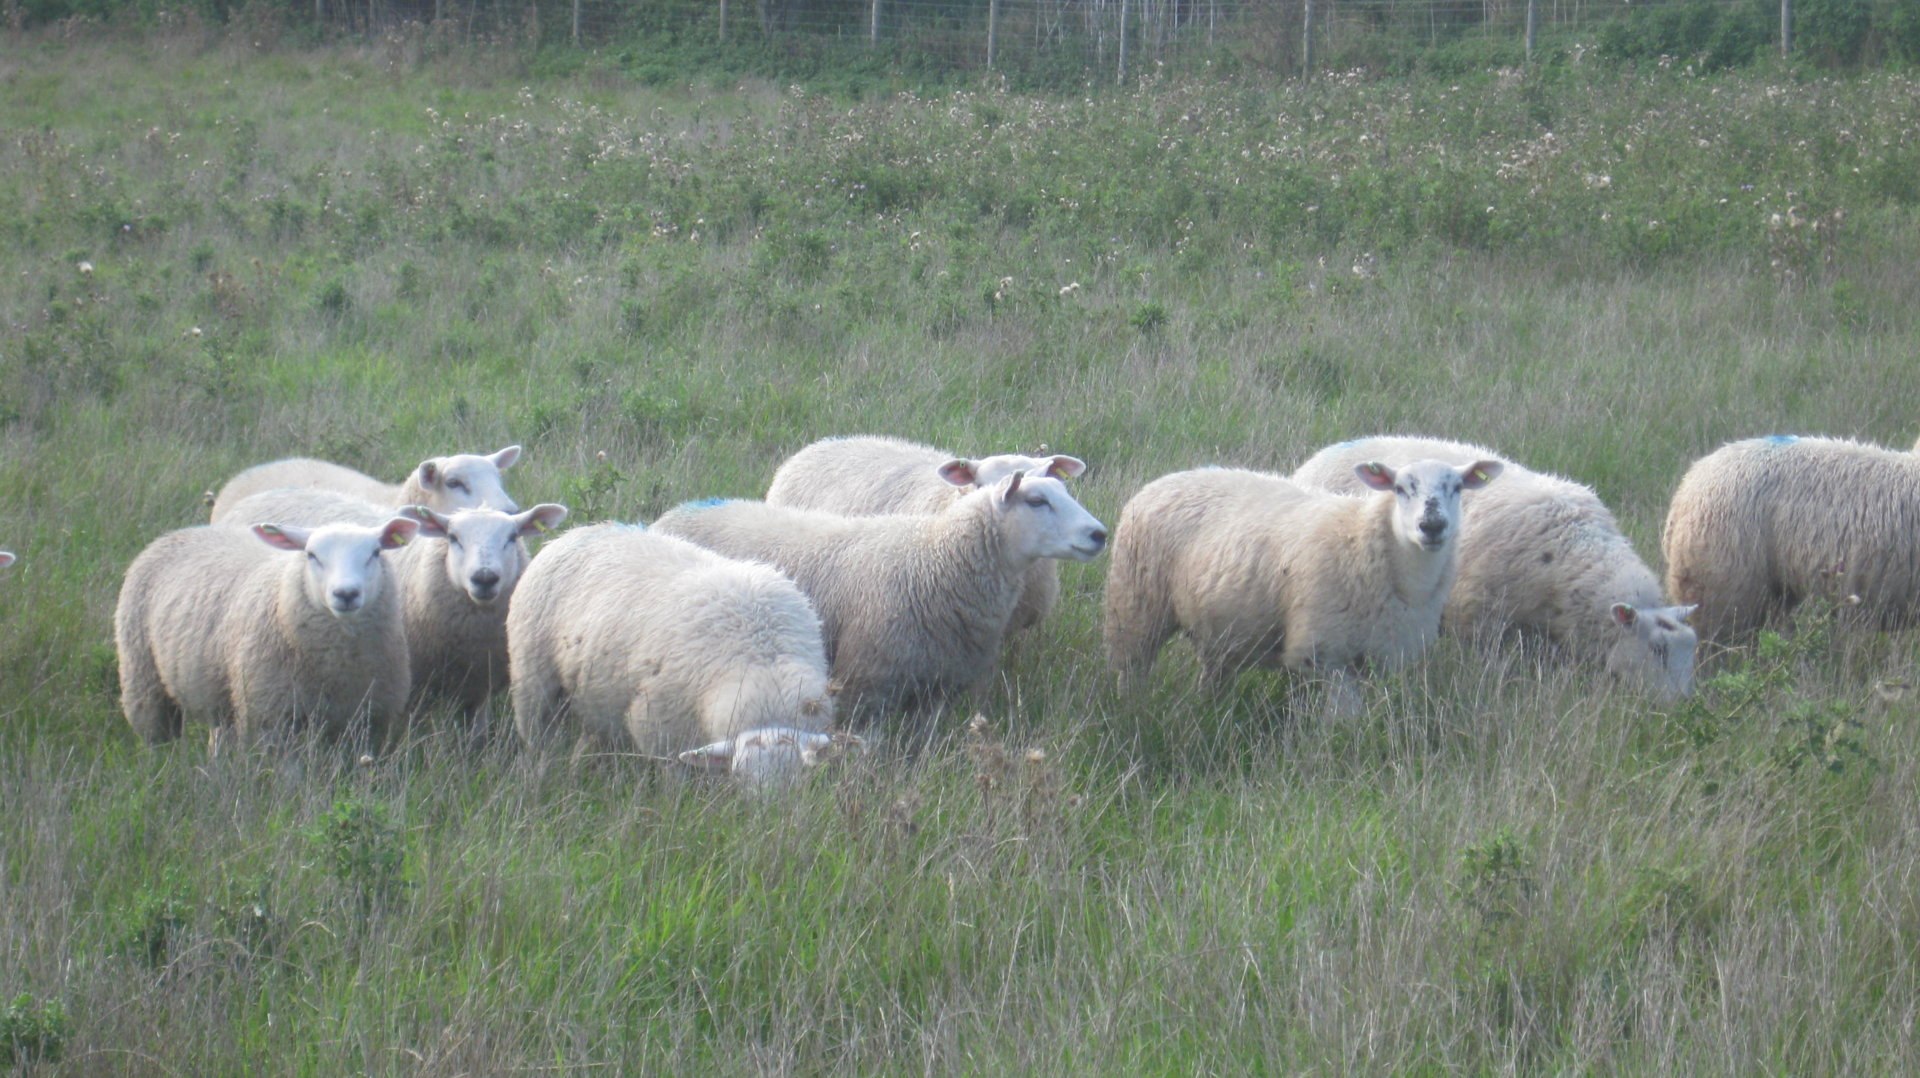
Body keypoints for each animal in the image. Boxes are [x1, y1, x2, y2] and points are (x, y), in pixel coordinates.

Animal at [114, 516, 419, 749]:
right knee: (156, 735)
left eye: (375, 553)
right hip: (143, 678)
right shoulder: (270, 718)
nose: (346, 594)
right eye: (312, 555)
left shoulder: (369, 721)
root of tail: (183, 531)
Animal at [507, 523, 851, 787]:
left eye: (799, 777)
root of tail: (574, 532)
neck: (763, 666)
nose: (768, 816)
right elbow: (677, 782)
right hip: (532, 677)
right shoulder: (658, 728)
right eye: (740, 776)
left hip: (594, 697)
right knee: (536, 732)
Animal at [651, 471, 1108, 722]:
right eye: (1037, 500)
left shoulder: (936, 691)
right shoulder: (863, 686)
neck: (936, 559)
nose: (1099, 534)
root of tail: (674, 512)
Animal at [1103, 460, 1500, 711]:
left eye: (1458, 487)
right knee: (1132, 668)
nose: (1431, 526)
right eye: (1401, 489)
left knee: (1213, 676)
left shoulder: (1371, 654)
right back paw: (1132, 709)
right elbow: (1343, 719)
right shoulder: (1324, 651)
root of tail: (1164, 480)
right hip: (1136, 606)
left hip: (1219, 624)